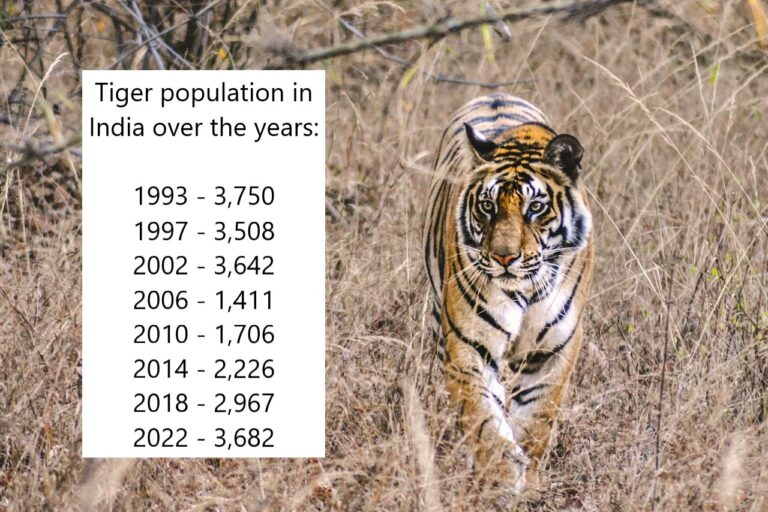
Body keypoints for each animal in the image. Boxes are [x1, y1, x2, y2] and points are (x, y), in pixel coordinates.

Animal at [422, 92, 593, 498]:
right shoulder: (468, 346)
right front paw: (501, 477)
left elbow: (536, 420)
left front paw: (527, 482)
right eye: (488, 205)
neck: (526, 287)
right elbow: (483, 420)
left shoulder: (554, 351)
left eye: (536, 207)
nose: (503, 258)